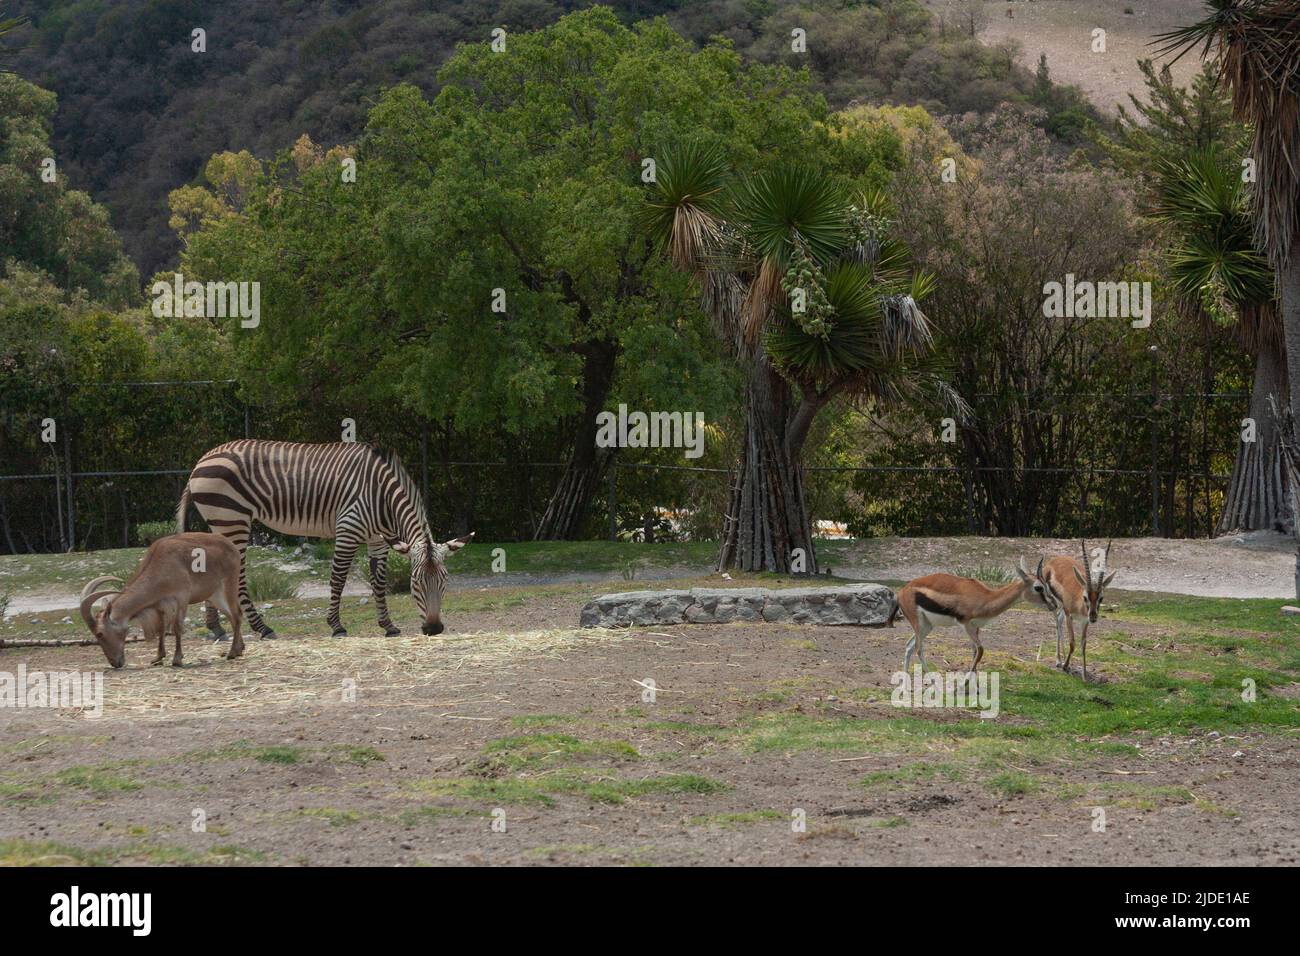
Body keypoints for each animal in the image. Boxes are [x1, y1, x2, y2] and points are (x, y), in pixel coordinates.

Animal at [79, 532, 244, 669]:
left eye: (100, 634)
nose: (115, 663)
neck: (159, 565)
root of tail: (232, 547)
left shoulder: (181, 598)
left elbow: (177, 627)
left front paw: (177, 659)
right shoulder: (159, 605)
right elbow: (161, 628)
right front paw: (158, 658)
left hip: (229, 585)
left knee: (237, 615)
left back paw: (232, 653)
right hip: (214, 596)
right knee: (232, 616)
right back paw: (240, 649)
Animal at [176, 440, 472, 639]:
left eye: (444, 582)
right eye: (415, 583)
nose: (434, 629)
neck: (382, 496)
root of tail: (201, 461)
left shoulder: (378, 539)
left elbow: (379, 582)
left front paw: (388, 626)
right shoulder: (349, 528)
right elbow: (338, 579)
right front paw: (336, 626)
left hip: (220, 522)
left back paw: (216, 628)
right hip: (232, 519)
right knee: (235, 576)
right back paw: (262, 628)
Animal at [894, 558, 1055, 679]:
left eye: (1047, 585)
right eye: (1039, 587)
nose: (1053, 604)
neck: (985, 598)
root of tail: (902, 591)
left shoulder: (975, 627)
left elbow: (974, 652)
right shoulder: (965, 625)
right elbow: (981, 650)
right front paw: (964, 684)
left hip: (927, 626)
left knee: (909, 645)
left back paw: (905, 683)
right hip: (919, 624)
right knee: (918, 648)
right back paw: (934, 683)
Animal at [1032, 539, 1115, 679]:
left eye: (1101, 598)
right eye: (1085, 597)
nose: (1093, 617)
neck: (1079, 604)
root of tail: (1052, 561)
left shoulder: (1085, 621)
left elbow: (1083, 644)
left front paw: (1084, 675)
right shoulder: (1069, 615)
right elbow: (1072, 642)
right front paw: (1066, 667)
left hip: (1062, 607)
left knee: (1059, 620)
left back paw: (1062, 660)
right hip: (1054, 602)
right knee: (1057, 623)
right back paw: (1059, 661)